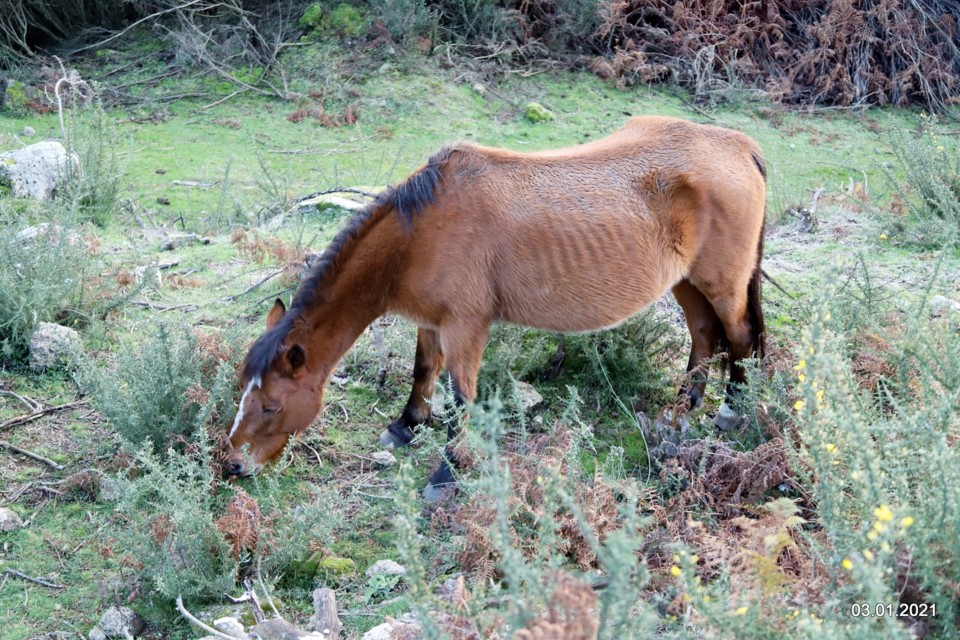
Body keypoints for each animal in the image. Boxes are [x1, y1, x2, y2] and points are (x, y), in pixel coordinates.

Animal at [226, 115, 767, 499]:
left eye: (271, 406)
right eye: (241, 395)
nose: (231, 464)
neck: (419, 232)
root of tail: (741, 146)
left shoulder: (465, 327)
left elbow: (460, 397)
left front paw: (446, 474)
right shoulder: (432, 321)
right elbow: (423, 370)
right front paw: (406, 425)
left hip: (721, 283)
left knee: (739, 337)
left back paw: (731, 410)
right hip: (686, 282)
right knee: (704, 333)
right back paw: (682, 408)